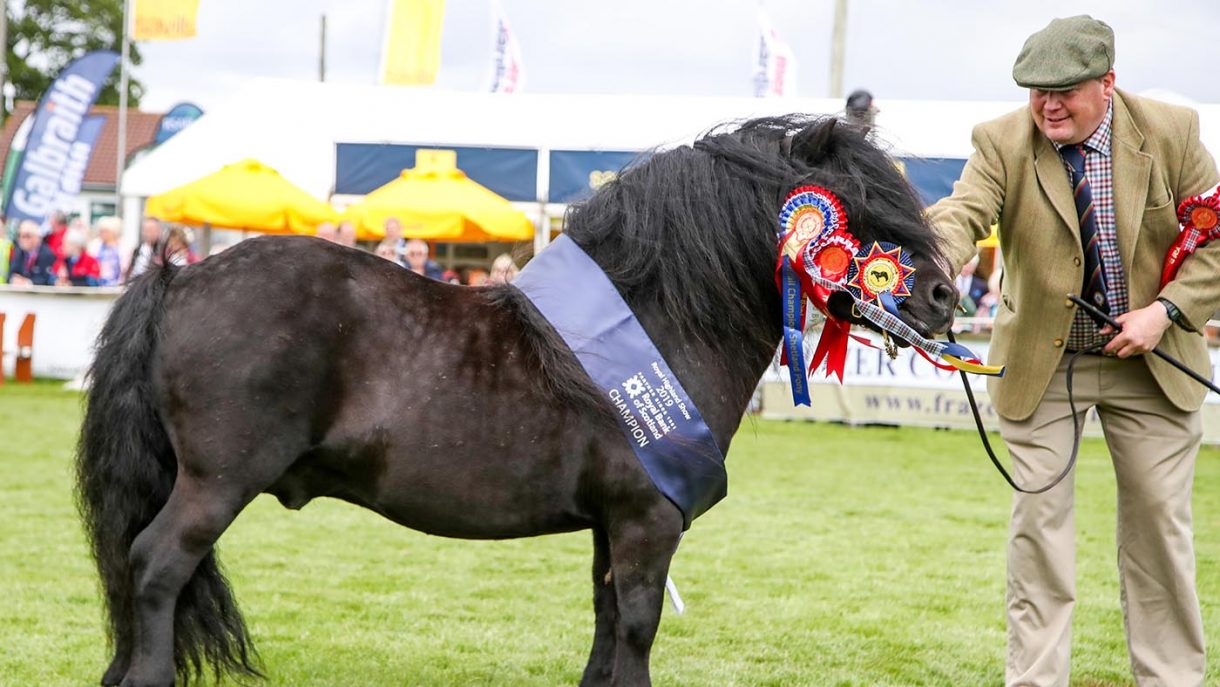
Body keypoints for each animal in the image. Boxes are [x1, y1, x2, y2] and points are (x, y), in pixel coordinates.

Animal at [76, 114, 957, 687]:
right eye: (862, 206)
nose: (946, 298)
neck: (660, 317)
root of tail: (178, 274)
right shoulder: (648, 520)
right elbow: (638, 625)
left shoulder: (615, 523)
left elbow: (606, 621)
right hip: (216, 483)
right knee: (155, 565)